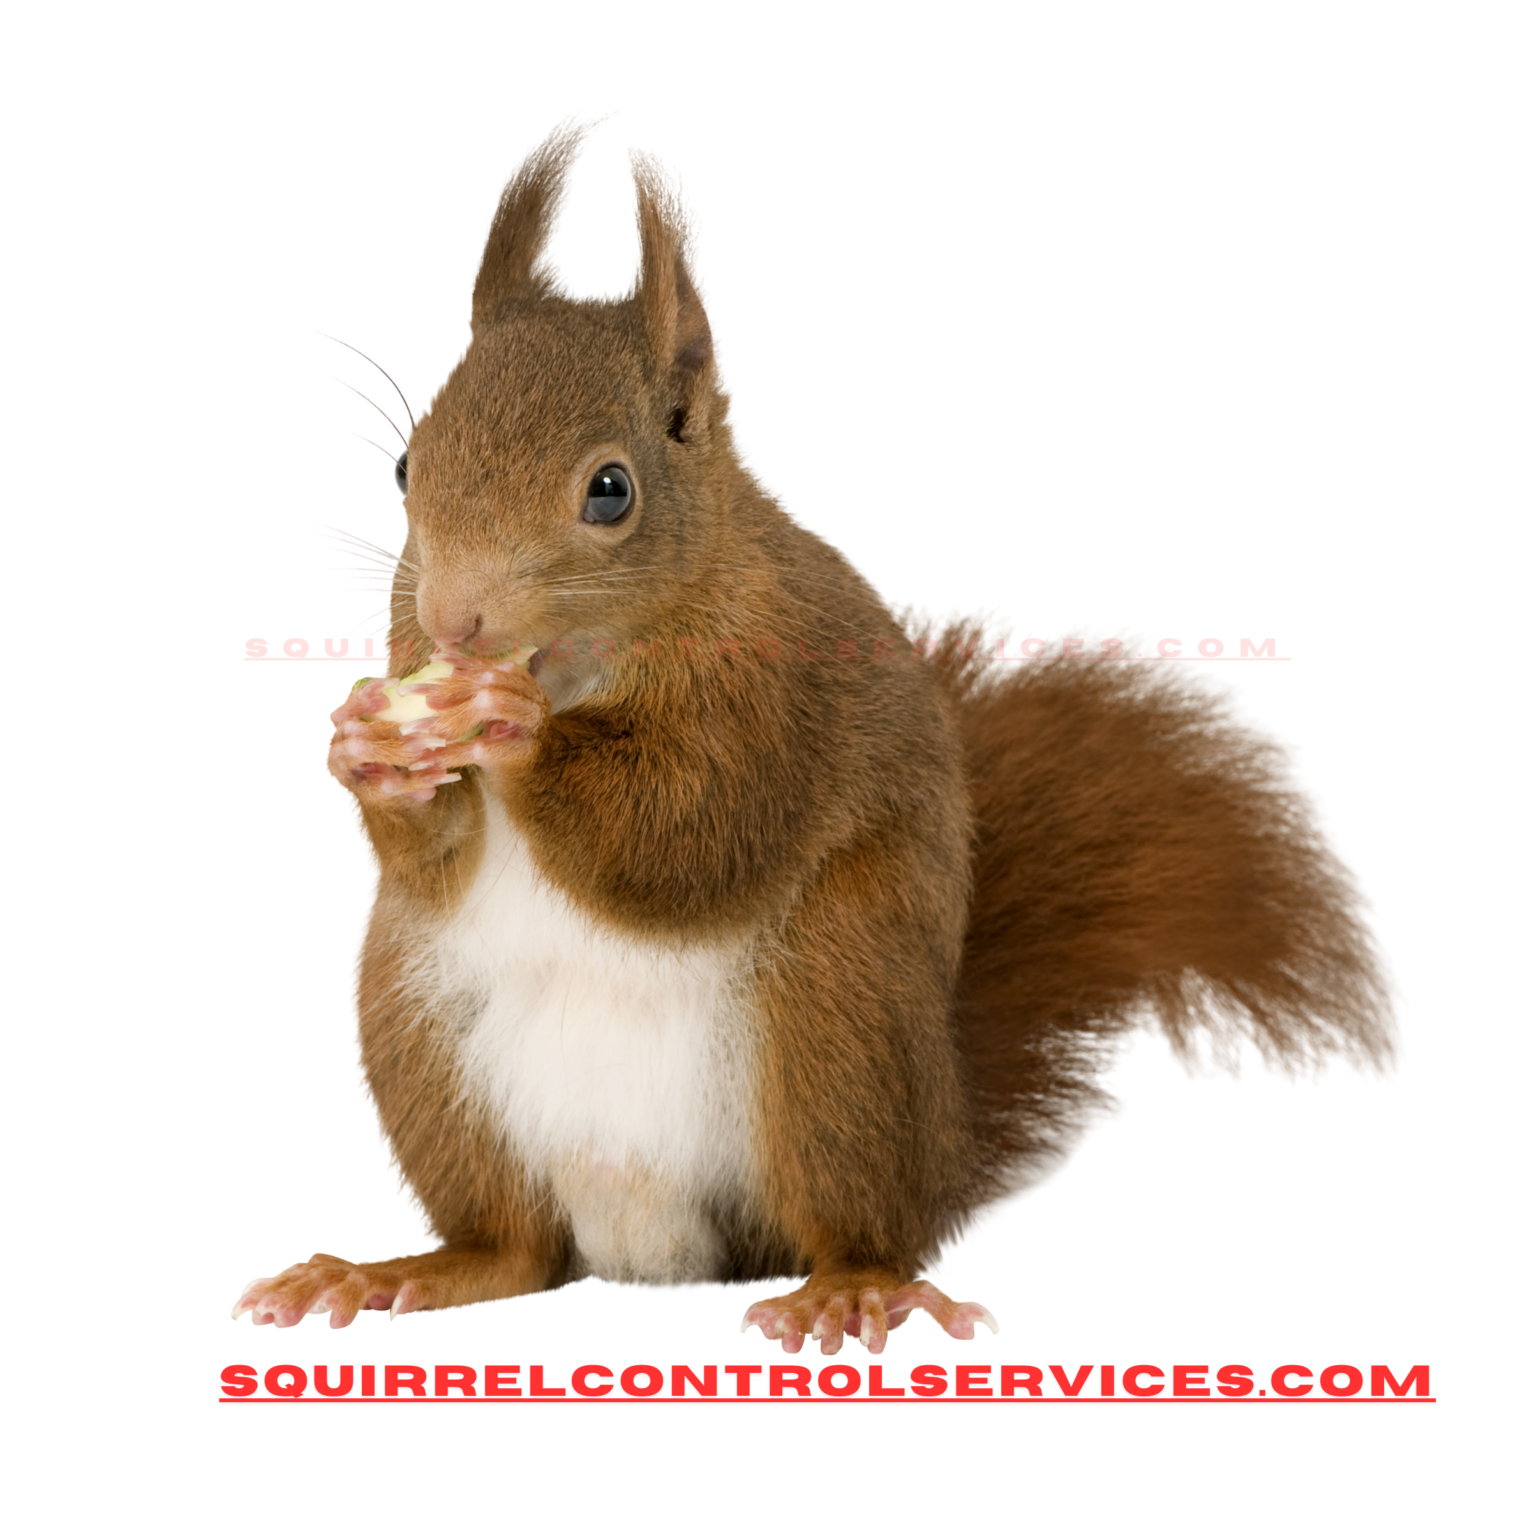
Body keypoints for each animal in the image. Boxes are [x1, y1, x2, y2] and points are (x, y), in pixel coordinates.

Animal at [234, 128, 1389, 1355]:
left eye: (611, 490)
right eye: (406, 468)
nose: (454, 625)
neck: (592, 663)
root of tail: (651, 1243)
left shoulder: (781, 695)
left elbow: (691, 831)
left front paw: (519, 732)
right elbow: (432, 859)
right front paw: (367, 749)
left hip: (837, 1018)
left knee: (853, 1219)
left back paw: (851, 1287)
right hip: (421, 1036)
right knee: (517, 1252)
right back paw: (391, 1271)